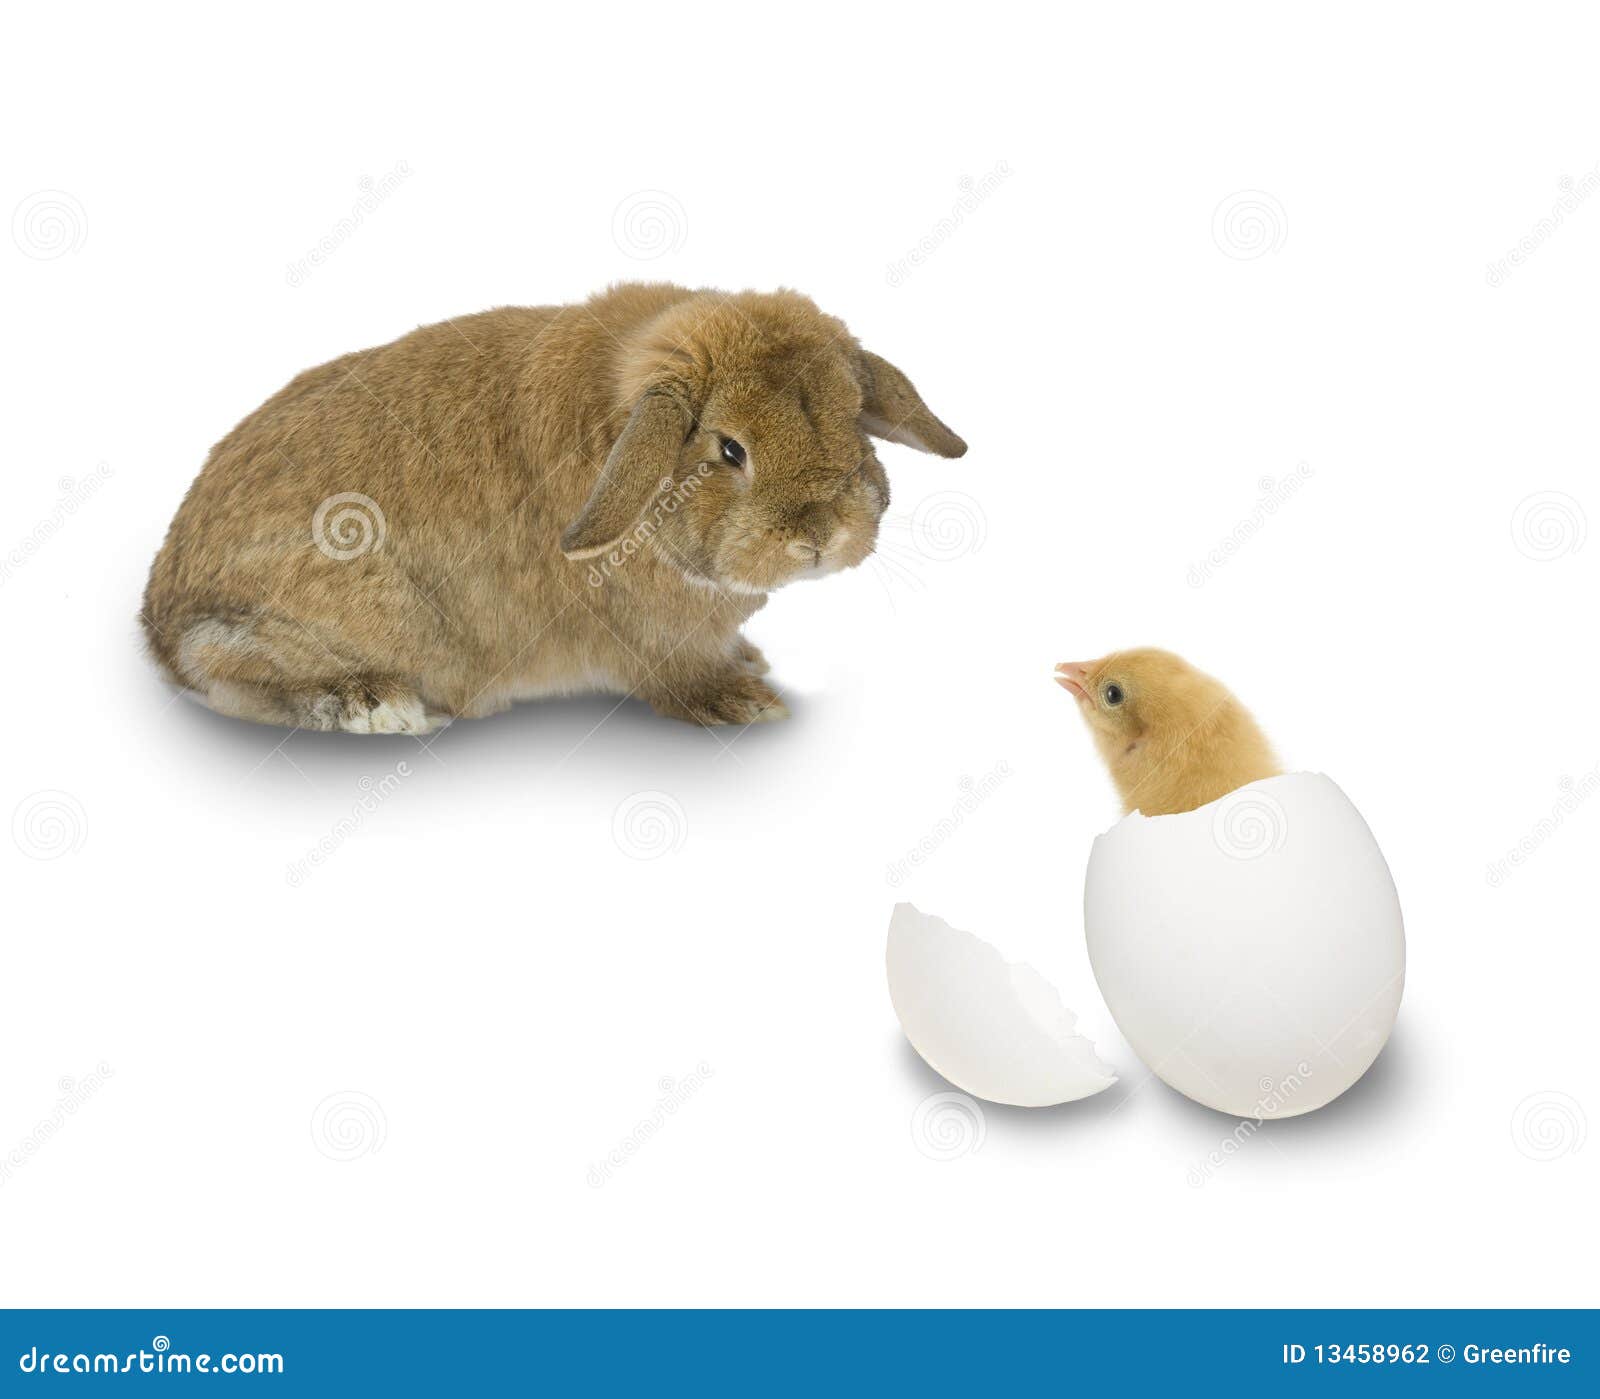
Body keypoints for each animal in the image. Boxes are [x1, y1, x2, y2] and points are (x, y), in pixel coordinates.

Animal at [140, 283, 967, 733]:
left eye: (854, 421)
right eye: (731, 449)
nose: (823, 536)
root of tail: (159, 620)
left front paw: (751, 665)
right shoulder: (647, 639)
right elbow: (675, 676)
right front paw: (746, 702)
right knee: (227, 672)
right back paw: (377, 706)